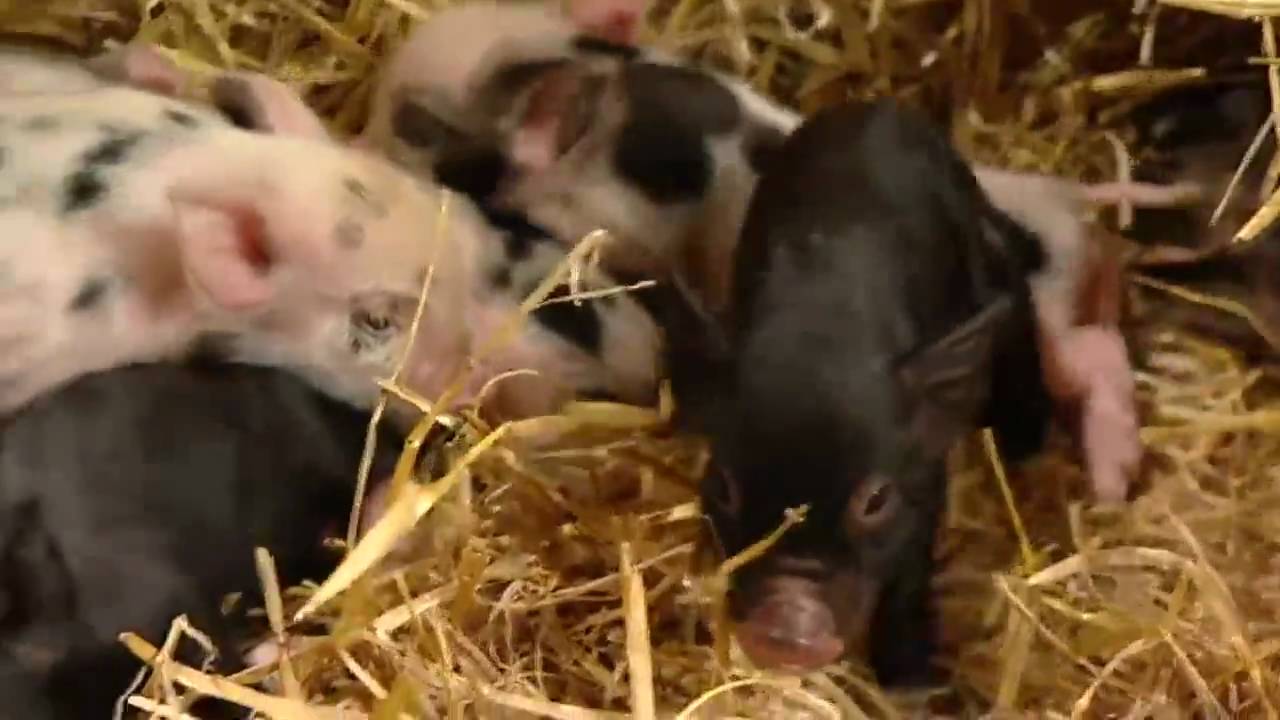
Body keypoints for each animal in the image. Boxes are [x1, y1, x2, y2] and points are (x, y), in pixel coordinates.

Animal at [659, 98, 1055, 684]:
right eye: (725, 487)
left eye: (876, 500)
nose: (785, 625)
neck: (824, 330)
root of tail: (877, 108)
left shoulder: (924, 482)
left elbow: (909, 574)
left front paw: (912, 684)